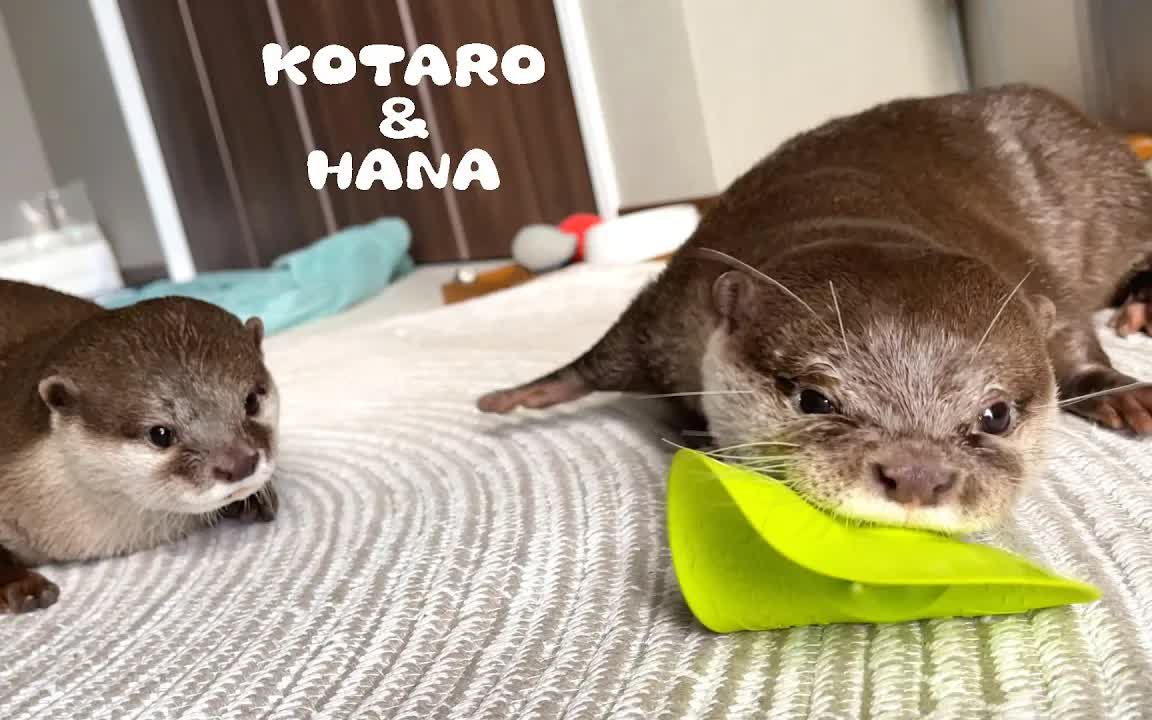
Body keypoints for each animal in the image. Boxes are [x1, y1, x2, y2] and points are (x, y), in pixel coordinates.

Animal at [477, 84, 1152, 534]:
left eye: (996, 416)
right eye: (815, 400)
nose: (917, 473)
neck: (851, 207)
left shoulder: (1034, 276)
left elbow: (1070, 334)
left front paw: (1120, 390)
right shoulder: (678, 302)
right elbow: (604, 355)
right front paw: (519, 396)